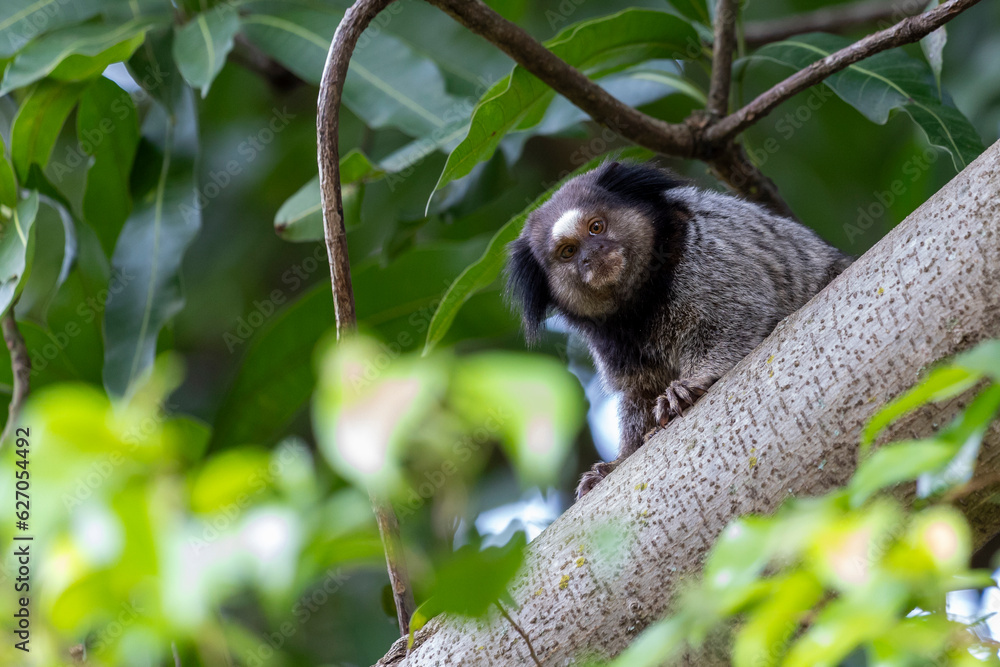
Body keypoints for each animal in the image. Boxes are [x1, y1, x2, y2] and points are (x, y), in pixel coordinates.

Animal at [504, 161, 852, 499]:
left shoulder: (704, 255)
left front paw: (688, 384)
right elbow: (639, 392)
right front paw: (618, 461)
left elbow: (737, 313)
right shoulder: (610, 340)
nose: (593, 254)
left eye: (596, 227)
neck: (639, 300)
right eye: (568, 251)